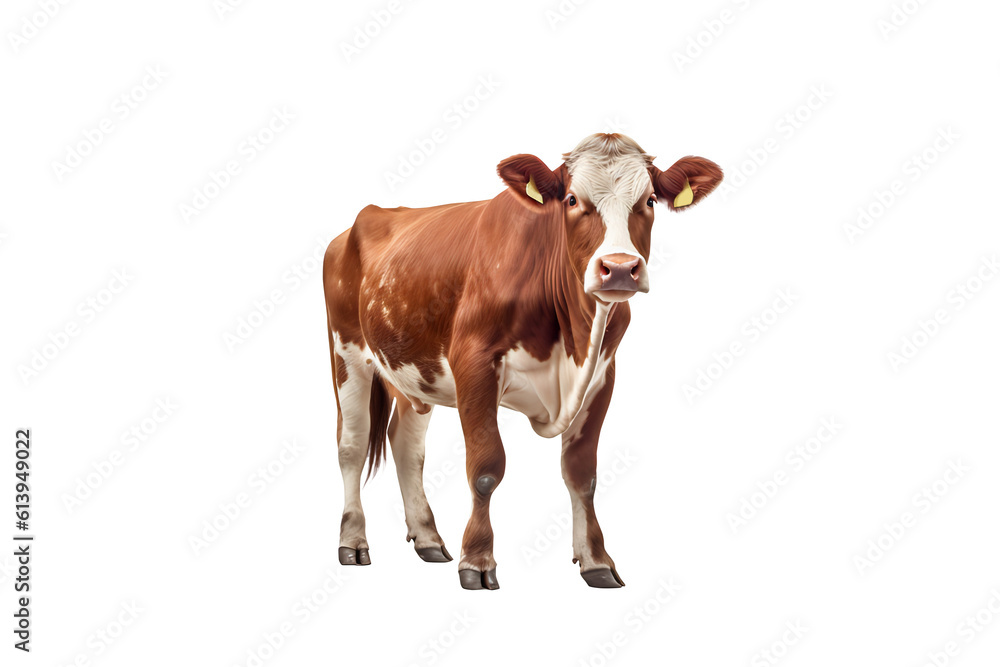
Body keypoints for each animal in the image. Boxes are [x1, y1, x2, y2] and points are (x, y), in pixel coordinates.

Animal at [323, 133, 722, 589]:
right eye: (571, 199)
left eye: (651, 200)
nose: (620, 268)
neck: (574, 338)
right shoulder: (474, 363)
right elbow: (485, 468)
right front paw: (477, 560)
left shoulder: (603, 375)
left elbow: (582, 473)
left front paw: (596, 560)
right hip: (346, 351)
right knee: (352, 445)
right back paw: (353, 541)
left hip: (414, 369)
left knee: (406, 445)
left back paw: (427, 538)